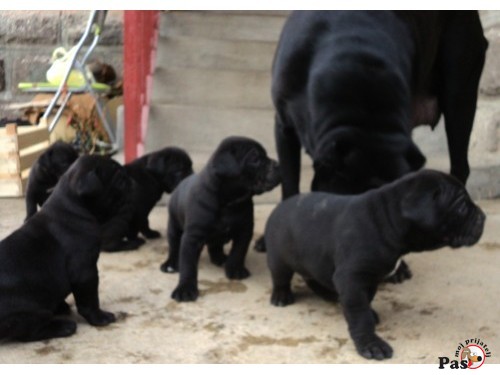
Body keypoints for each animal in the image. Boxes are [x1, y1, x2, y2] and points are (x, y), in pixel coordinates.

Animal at [0, 154, 133, 342]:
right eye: (119, 180)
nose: (131, 181)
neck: (74, 207)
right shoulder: (85, 271)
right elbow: (89, 300)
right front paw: (99, 317)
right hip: (27, 310)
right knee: (29, 330)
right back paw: (63, 327)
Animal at [163, 137, 284, 304]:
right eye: (255, 159)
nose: (278, 164)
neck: (228, 202)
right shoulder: (192, 237)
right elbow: (188, 265)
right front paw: (185, 288)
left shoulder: (244, 230)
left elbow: (238, 251)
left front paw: (235, 269)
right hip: (174, 226)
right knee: (174, 246)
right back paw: (170, 264)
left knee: (215, 245)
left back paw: (220, 258)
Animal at [264, 170, 486, 362]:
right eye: (461, 207)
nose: (483, 217)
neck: (387, 220)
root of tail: (279, 206)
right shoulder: (352, 277)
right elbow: (359, 312)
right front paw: (370, 343)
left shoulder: (368, 277)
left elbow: (365, 302)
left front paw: (368, 313)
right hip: (278, 258)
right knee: (281, 277)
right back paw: (281, 296)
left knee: (314, 279)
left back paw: (331, 295)